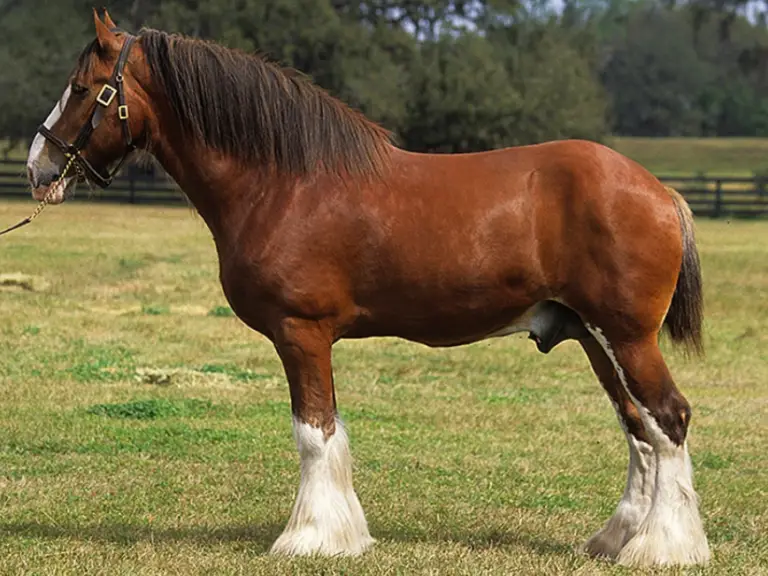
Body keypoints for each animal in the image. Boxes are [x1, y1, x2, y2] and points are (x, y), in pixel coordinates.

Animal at [24, 10, 710, 566]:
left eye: (83, 89)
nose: (37, 166)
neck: (284, 183)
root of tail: (660, 192)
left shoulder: (301, 332)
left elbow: (314, 431)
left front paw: (310, 539)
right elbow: (326, 430)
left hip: (626, 337)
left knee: (668, 420)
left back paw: (664, 548)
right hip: (595, 338)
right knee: (638, 428)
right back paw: (618, 540)